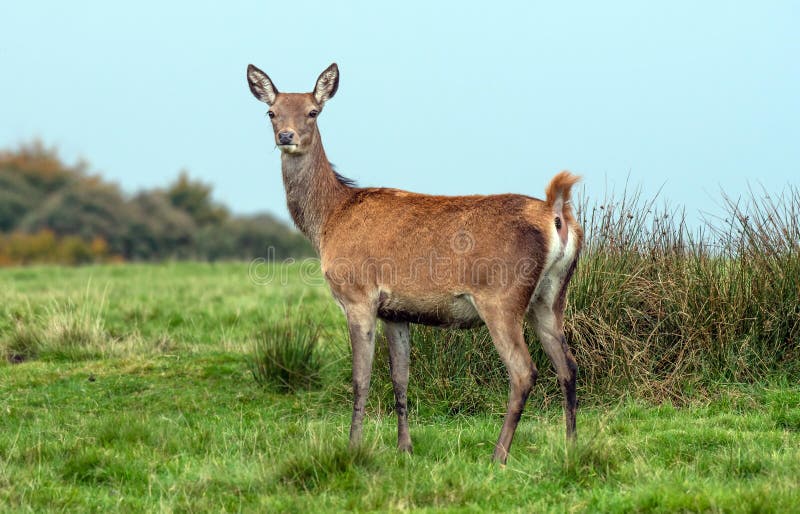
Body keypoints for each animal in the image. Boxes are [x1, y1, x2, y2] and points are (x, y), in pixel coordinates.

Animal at [246, 62, 583, 464]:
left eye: (313, 112)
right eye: (271, 112)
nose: (286, 136)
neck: (328, 221)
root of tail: (557, 215)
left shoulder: (358, 296)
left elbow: (361, 379)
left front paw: (353, 447)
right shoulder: (396, 311)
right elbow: (400, 377)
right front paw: (404, 447)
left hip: (501, 298)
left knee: (524, 371)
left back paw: (498, 455)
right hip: (551, 297)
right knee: (568, 366)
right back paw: (570, 446)